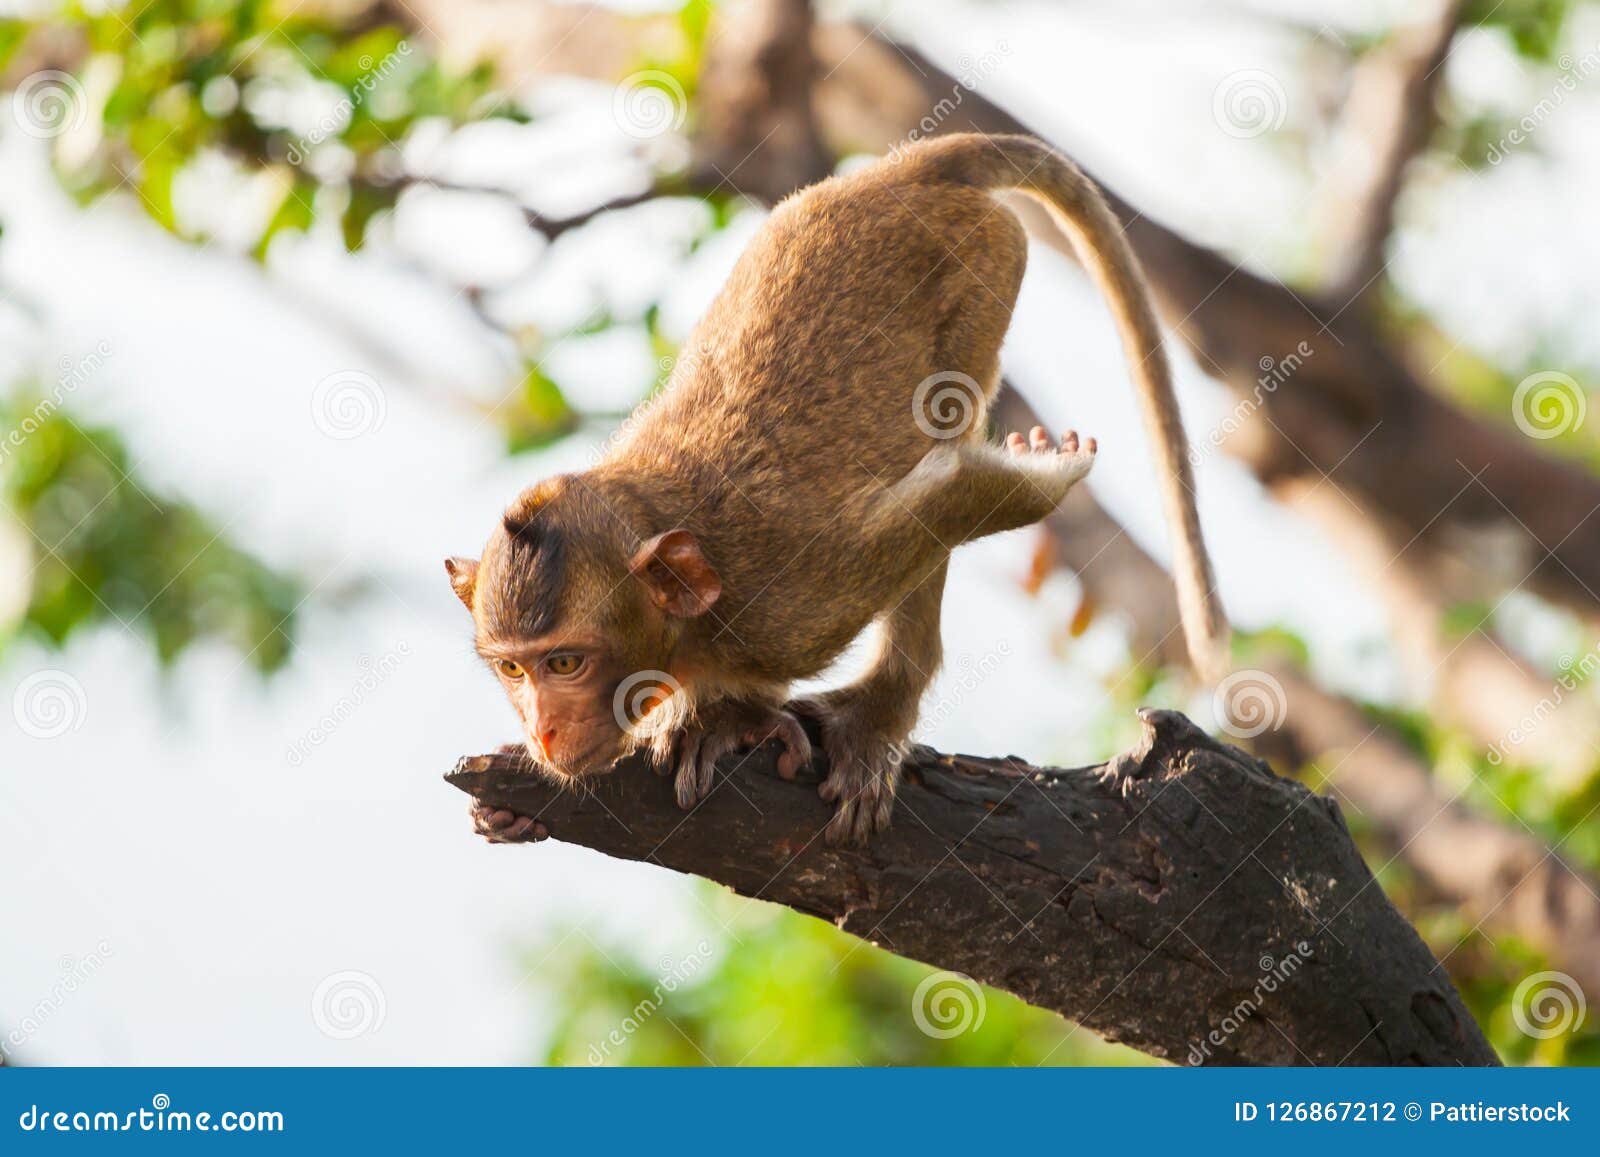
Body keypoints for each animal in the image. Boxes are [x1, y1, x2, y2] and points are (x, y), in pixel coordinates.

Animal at [450, 133, 1228, 845]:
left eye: (566, 663)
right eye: (513, 669)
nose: (545, 733)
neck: (689, 628)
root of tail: (900, 172)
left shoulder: (791, 610)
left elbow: (954, 492)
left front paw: (1038, 481)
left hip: (987, 262)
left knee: (947, 420)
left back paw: (881, 710)